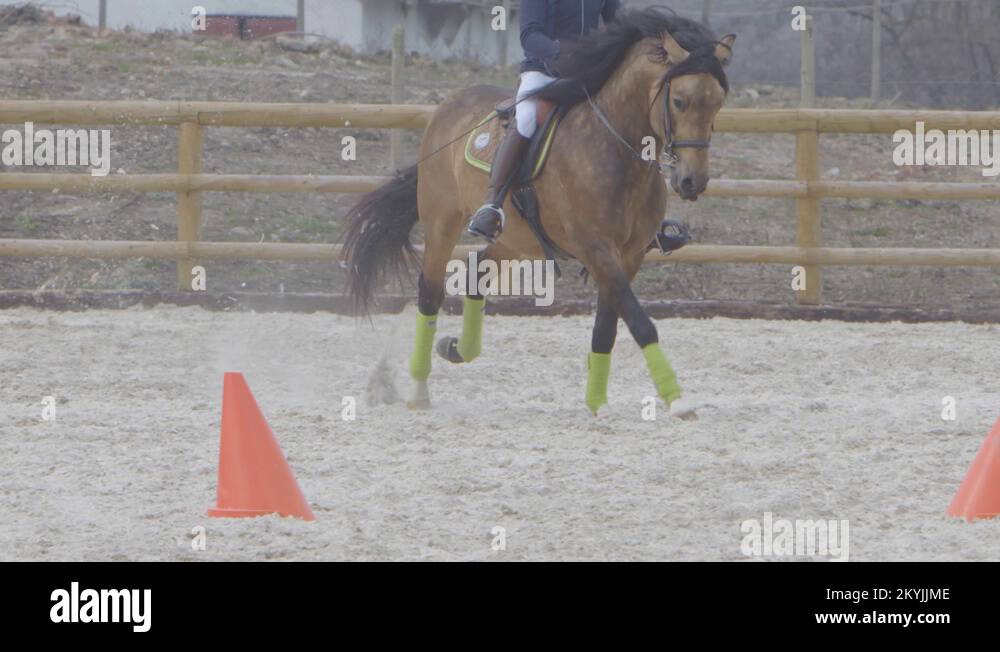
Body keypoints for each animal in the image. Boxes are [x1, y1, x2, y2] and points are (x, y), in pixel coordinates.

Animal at [342, 8, 735, 419]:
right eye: (680, 101)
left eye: (718, 102)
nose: (692, 181)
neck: (617, 150)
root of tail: (449, 103)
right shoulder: (597, 249)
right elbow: (640, 322)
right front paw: (677, 399)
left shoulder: (628, 256)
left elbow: (608, 326)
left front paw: (597, 404)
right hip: (441, 223)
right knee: (430, 291)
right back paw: (419, 391)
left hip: (517, 240)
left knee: (477, 270)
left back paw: (455, 348)